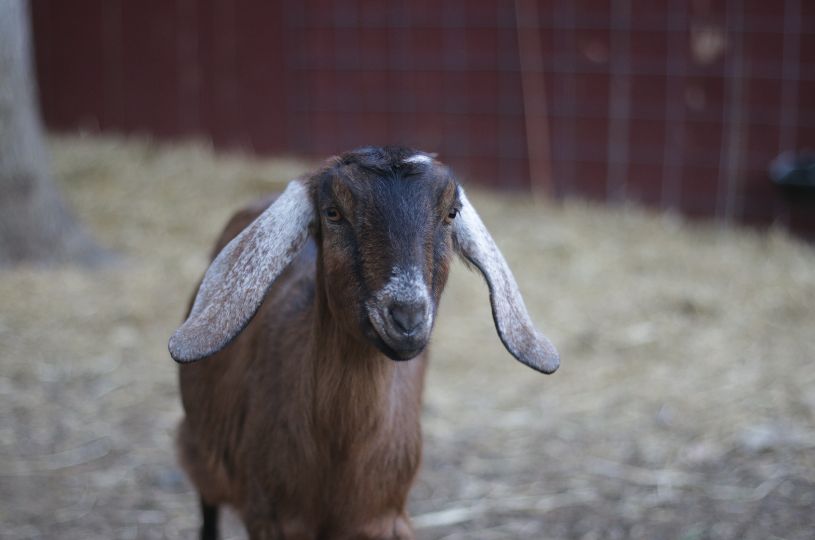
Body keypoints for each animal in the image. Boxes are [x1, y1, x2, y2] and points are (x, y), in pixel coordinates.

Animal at [169, 146, 559, 540]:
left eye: (451, 213)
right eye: (333, 213)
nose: (407, 319)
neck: (339, 452)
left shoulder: (384, 520)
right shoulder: (271, 517)